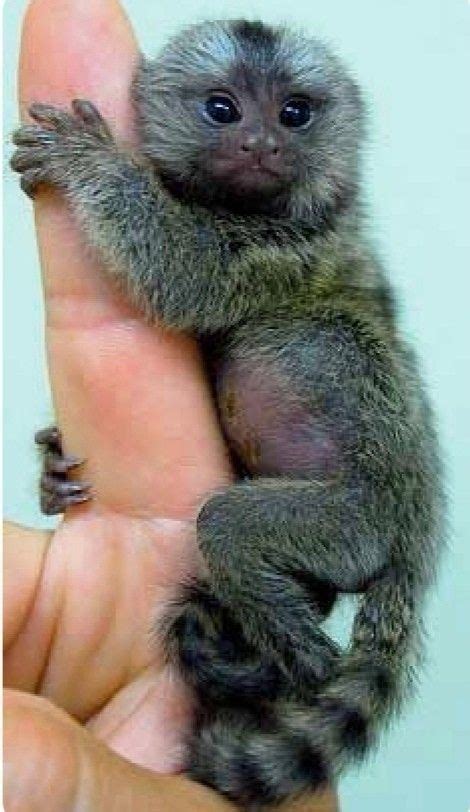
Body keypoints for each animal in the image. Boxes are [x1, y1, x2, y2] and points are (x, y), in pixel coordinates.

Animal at [11, 19, 444, 809]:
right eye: (223, 109)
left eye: (294, 114)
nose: (262, 145)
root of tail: (416, 548)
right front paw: (52, 466)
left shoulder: (289, 247)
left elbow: (185, 273)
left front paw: (92, 162)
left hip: (358, 525)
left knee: (230, 525)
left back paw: (293, 654)